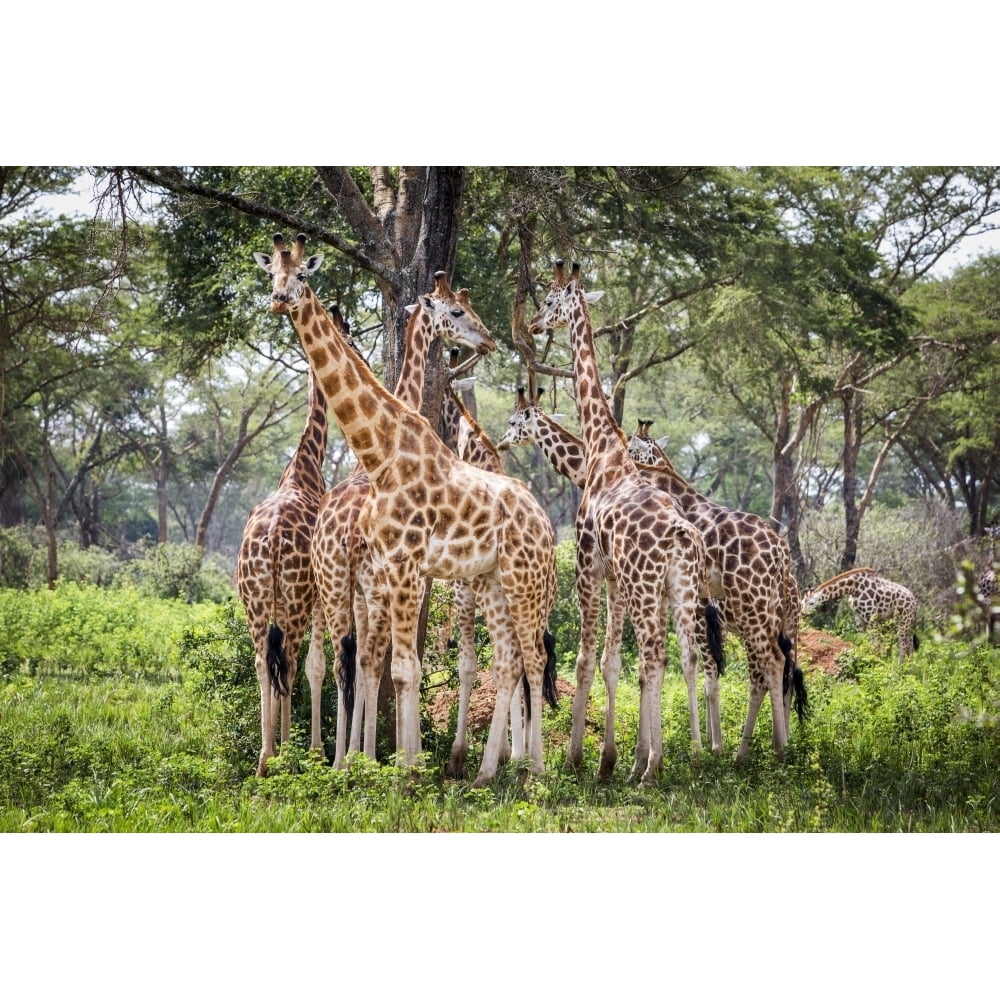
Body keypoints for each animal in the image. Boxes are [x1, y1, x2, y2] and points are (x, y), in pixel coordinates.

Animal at [255, 234, 557, 787]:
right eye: (273, 275)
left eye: (302, 275)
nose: (280, 299)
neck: (382, 455)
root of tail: (544, 518)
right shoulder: (395, 570)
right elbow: (394, 667)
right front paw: (396, 764)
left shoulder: (408, 568)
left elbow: (400, 667)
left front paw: (403, 768)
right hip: (489, 579)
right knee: (507, 660)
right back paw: (487, 772)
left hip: (522, 577)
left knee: (531, 656)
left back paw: (533, 771)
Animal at [497, 385, 807, 764]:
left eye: (513, 421)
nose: (502, 442)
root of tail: (781, 553)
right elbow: (675, 668)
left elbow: (686, 669)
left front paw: (699, 747)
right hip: (775, 613)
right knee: (782, 669)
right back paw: (773, 746)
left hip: (749, 604)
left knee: (768, 667)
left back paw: (759, 751)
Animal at [527, 260, 724, 783]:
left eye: (551, 301)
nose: (533, 325)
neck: (603, 451)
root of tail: (680, 535)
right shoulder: (615, 578)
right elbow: (613, 661)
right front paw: (612, 758)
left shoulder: (587, 564)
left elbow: (585, 659)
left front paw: (580, 757)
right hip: (678, 586)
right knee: (683, 654)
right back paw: (684, 757)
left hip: (645, 584)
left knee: (655, 654)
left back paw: (654, 767)